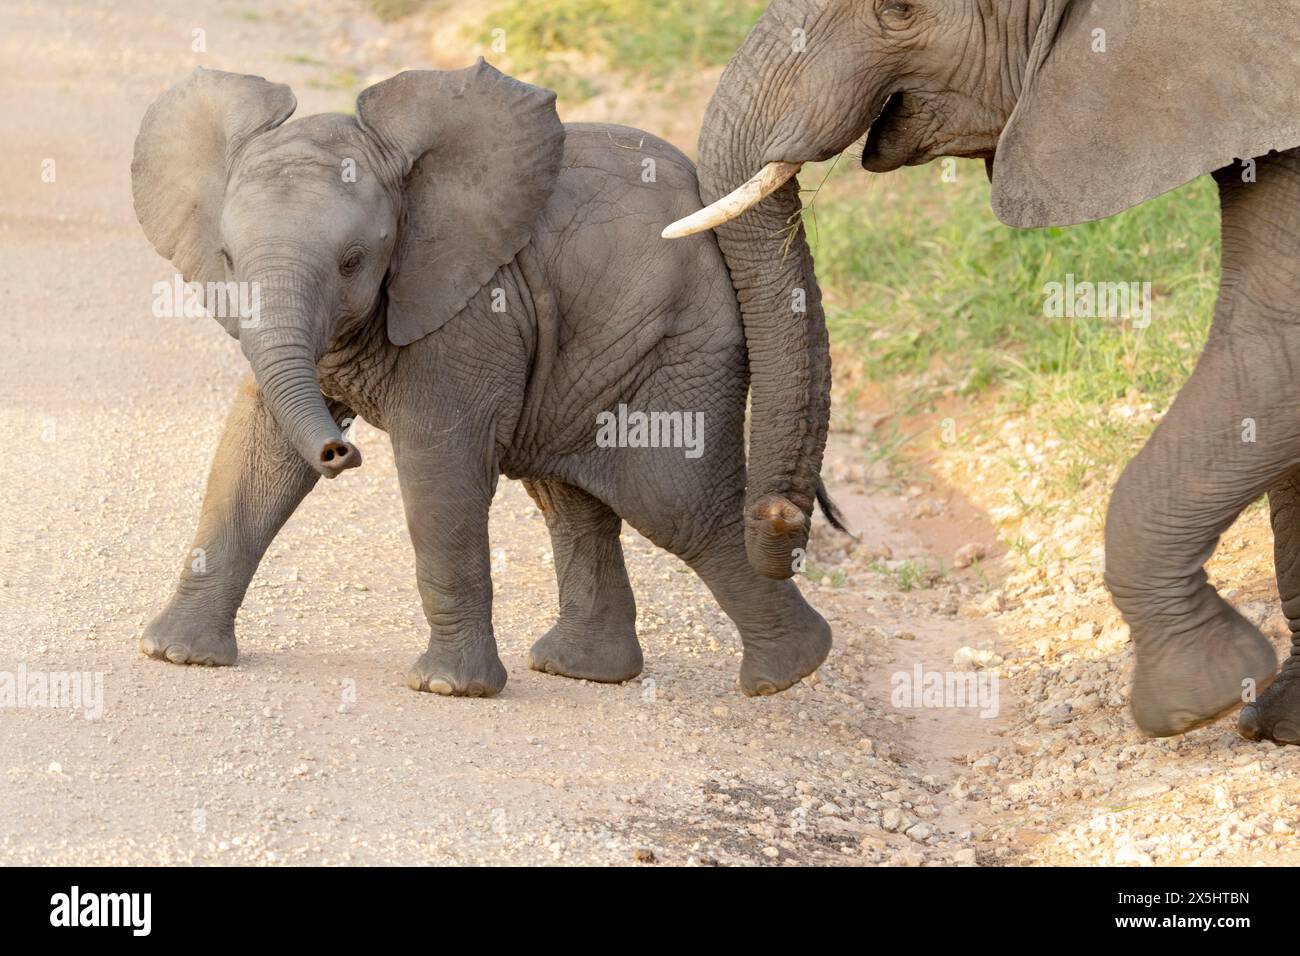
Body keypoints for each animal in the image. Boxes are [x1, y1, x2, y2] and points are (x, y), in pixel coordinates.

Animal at [130, 61, 841, 698]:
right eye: (226, 259)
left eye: (353, 262)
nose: (340, 450)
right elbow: (254, 457)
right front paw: (176, 654)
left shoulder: (472, 313)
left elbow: (438, 464)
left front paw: (448, 688)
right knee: (571, 497)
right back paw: (584, 671)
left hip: (678, 342)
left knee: (675, 500)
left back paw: (787, 672)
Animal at [662, 0, 1300, 743]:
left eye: (898, 10)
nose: (783, 513)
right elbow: (1264, 352)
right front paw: (1273, 720)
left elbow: (1271, 347)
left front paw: (1198, 699)